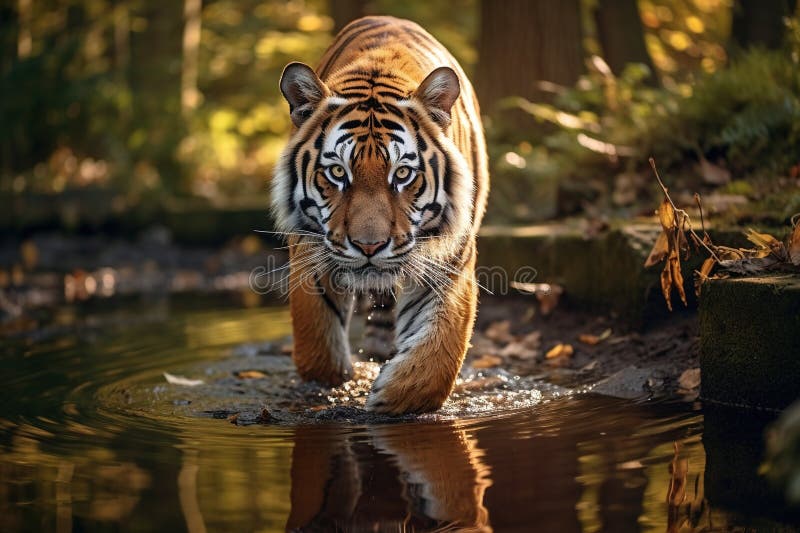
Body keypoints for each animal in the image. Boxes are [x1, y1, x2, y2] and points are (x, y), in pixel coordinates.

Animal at [272, 16, 489, 414]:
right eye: (337, 172)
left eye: (402, 174)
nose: (369, 247)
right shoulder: (311, 250)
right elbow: (316, 344)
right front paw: (344, 380)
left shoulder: (450, 259)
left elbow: (441, 348)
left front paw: (391, 397)